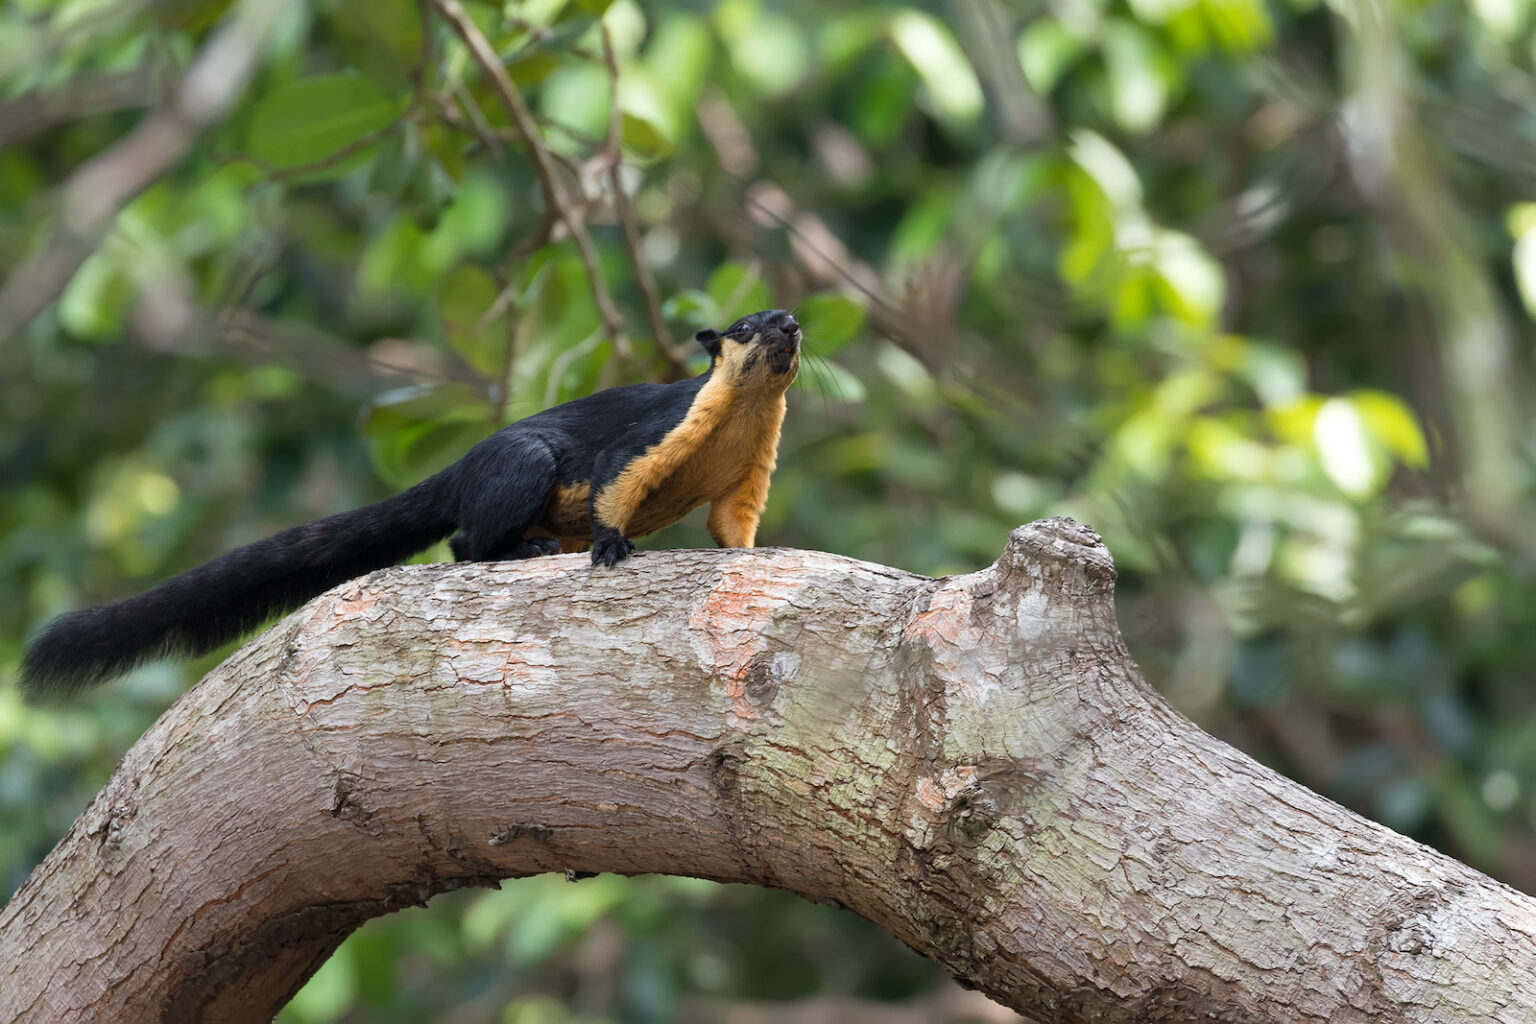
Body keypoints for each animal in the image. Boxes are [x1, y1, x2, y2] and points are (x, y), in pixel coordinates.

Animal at [20, 308, 802, 699]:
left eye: (788, 318)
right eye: (743, 327)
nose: (791, 324)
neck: (743, 415)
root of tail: (461, 469)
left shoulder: (749, 476)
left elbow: (732, 528)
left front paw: (750, 556)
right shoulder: (654, 434)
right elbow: (615, 478)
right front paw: (613, 547)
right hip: (523, 466)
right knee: (467, 544)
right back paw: (526, 549)